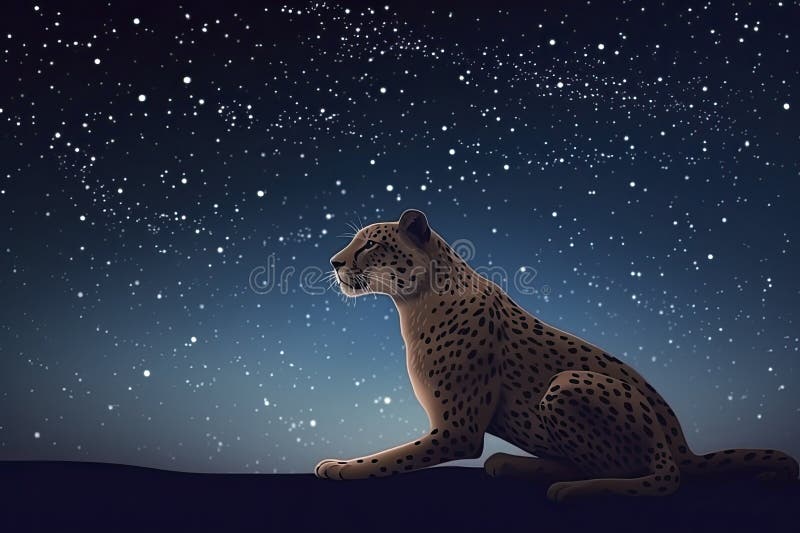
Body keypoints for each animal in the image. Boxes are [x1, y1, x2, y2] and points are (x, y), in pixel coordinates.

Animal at [315, 209, 798, 501]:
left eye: (371, 244)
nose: (335, 262)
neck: (413, 303)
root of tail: (681, 441)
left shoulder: (456, 430)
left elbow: (392, 457)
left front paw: (340, 467)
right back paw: (511, 464)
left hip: (567, 384)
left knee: (662, 477)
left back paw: (570, 488)